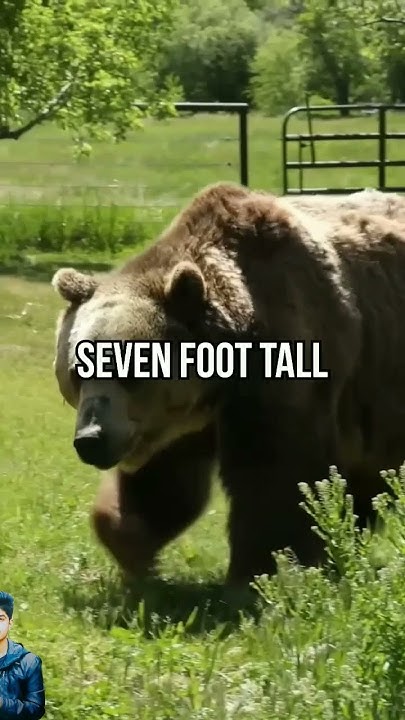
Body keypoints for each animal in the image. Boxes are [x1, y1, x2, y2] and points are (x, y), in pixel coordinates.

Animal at [51, 181, 405, 588]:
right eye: (78, 371)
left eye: (130, 371)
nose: (91, 439)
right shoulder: (178, 425)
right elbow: (165, 486)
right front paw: (130, 545)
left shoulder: (286, 373)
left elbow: (275, 480)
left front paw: (260, 572)